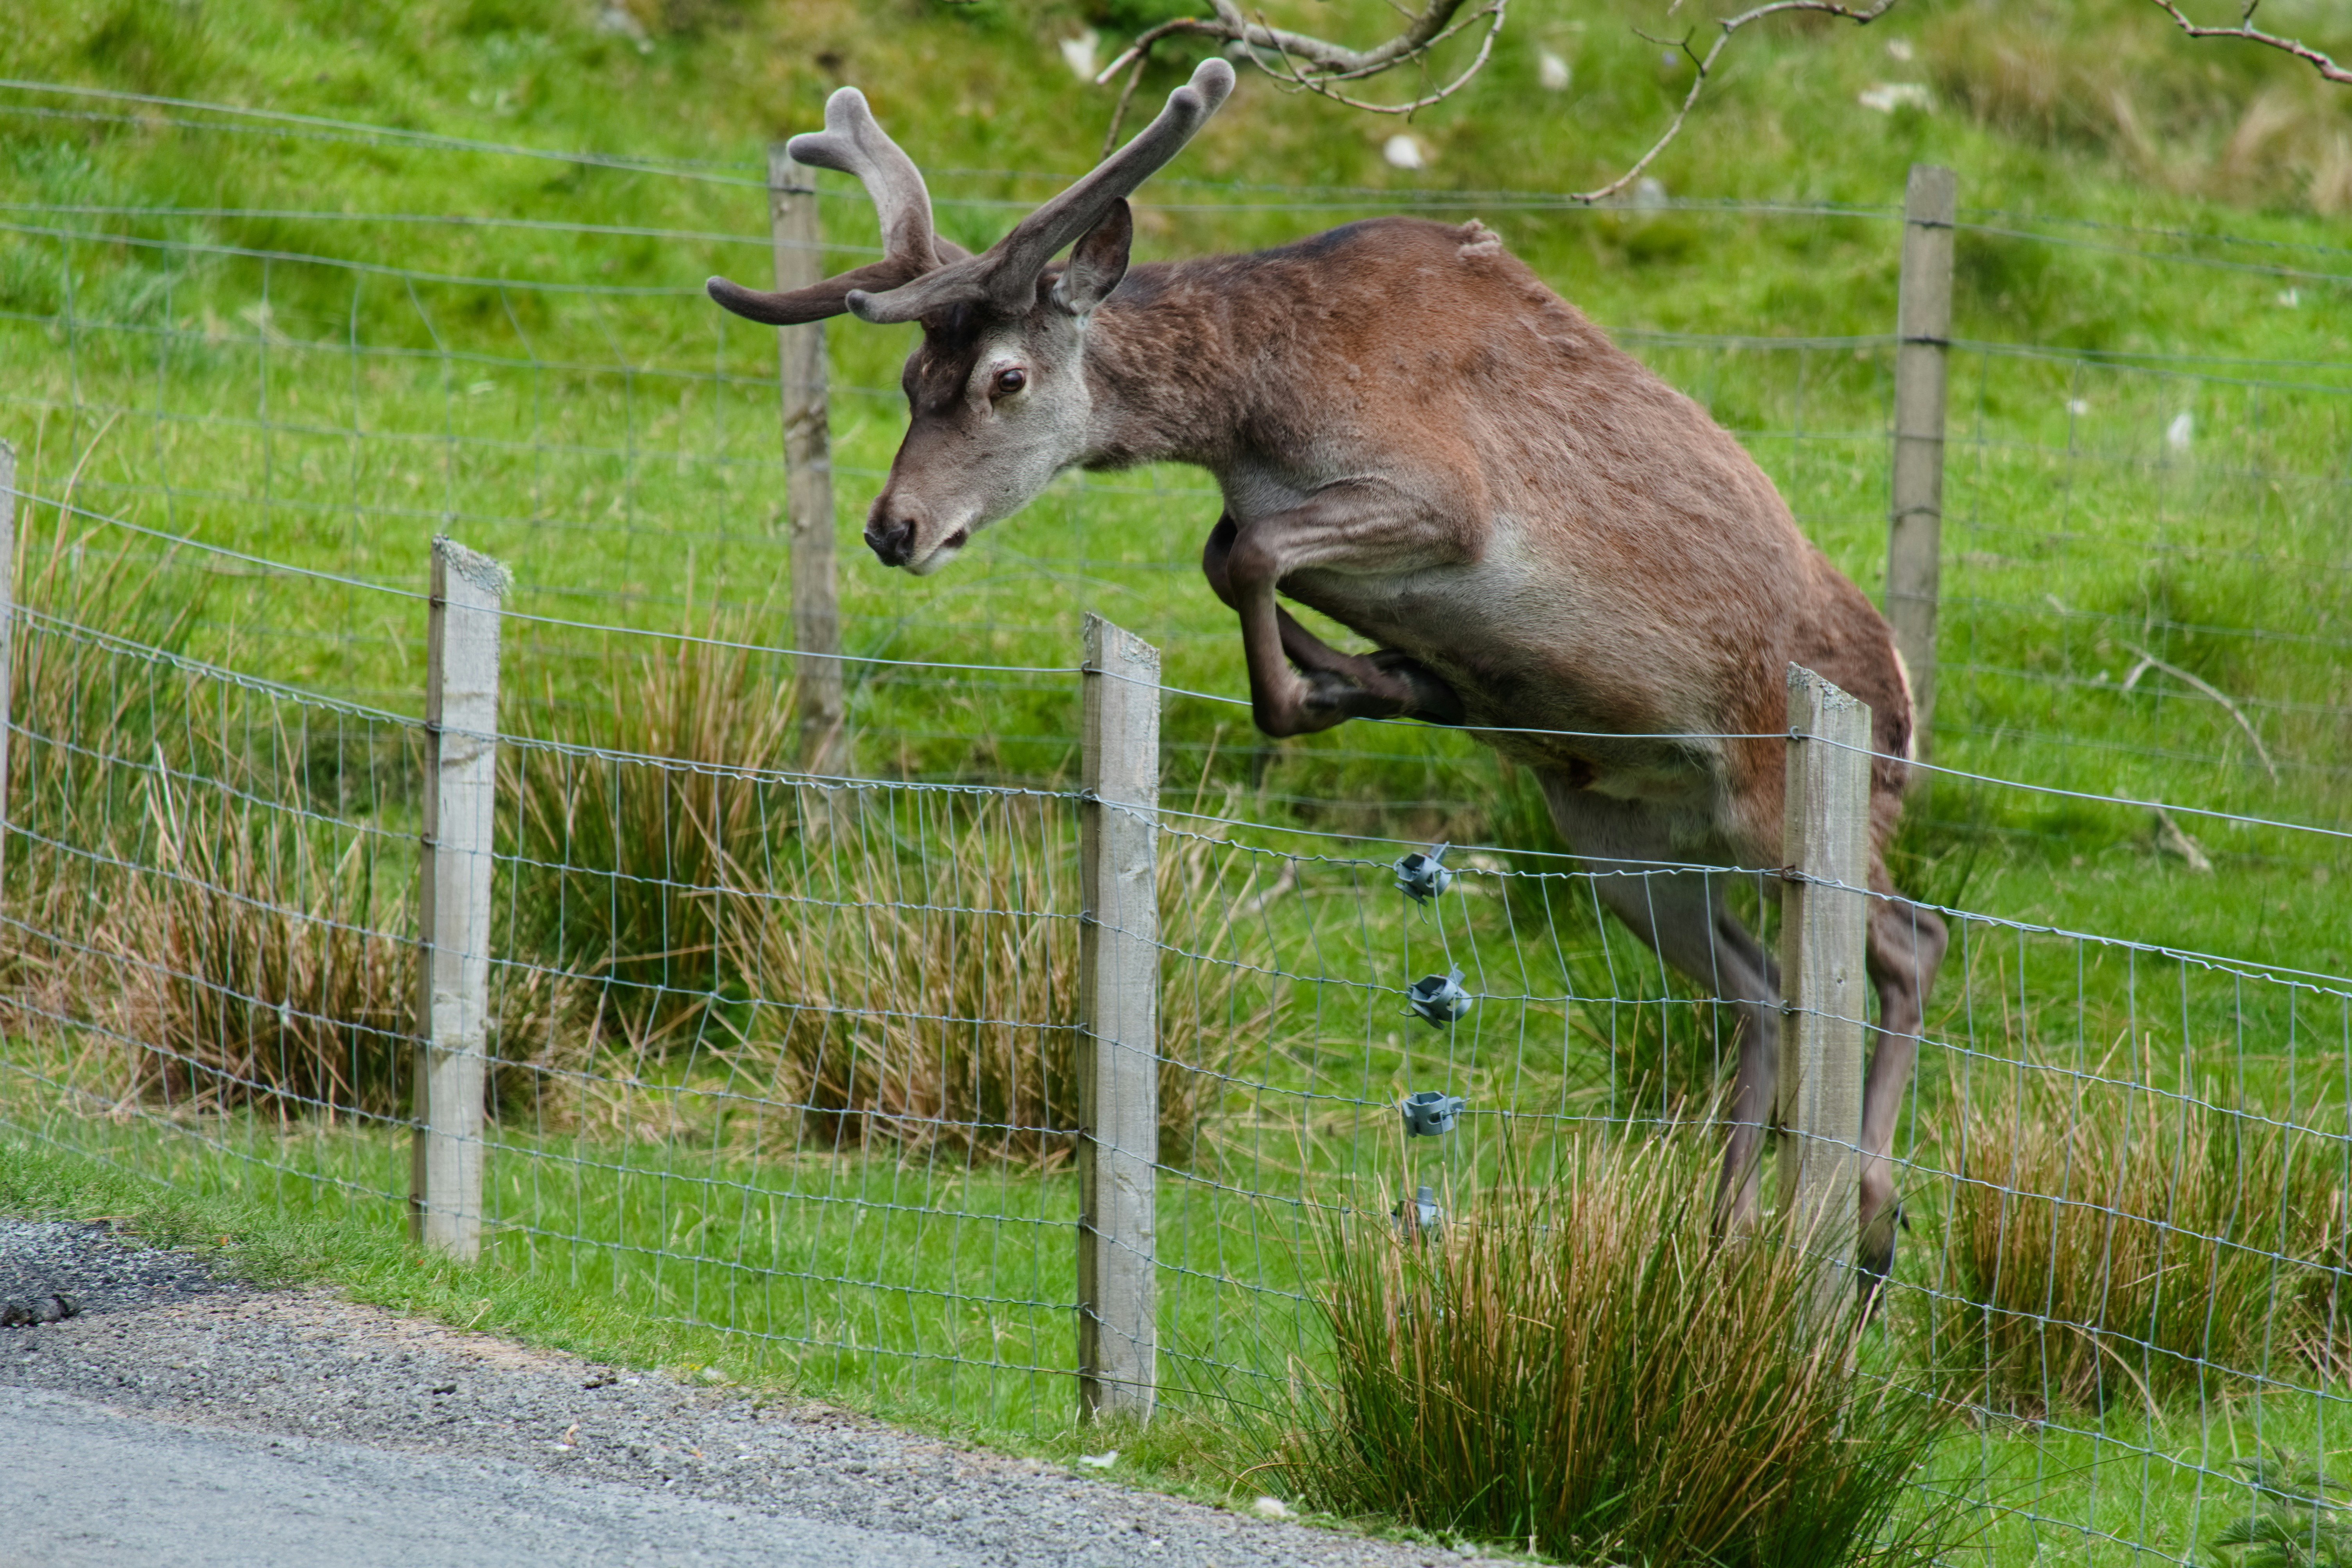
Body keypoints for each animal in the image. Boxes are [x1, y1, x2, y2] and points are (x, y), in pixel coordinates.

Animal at [707, 59, 1947, 1291]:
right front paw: (1399, 680)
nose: (893, 528)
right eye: (913, 376)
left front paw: (1324, 692)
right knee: (1761, 986)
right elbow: (1223, 552)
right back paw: (1729, 1235)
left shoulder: (1446, 495)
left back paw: (1868, 1214)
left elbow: (1249, 552)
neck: (1257, 413)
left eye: (1005, 379)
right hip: (1621, 841)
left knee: (1908, 943)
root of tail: (1903, 698)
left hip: (1793, 803)